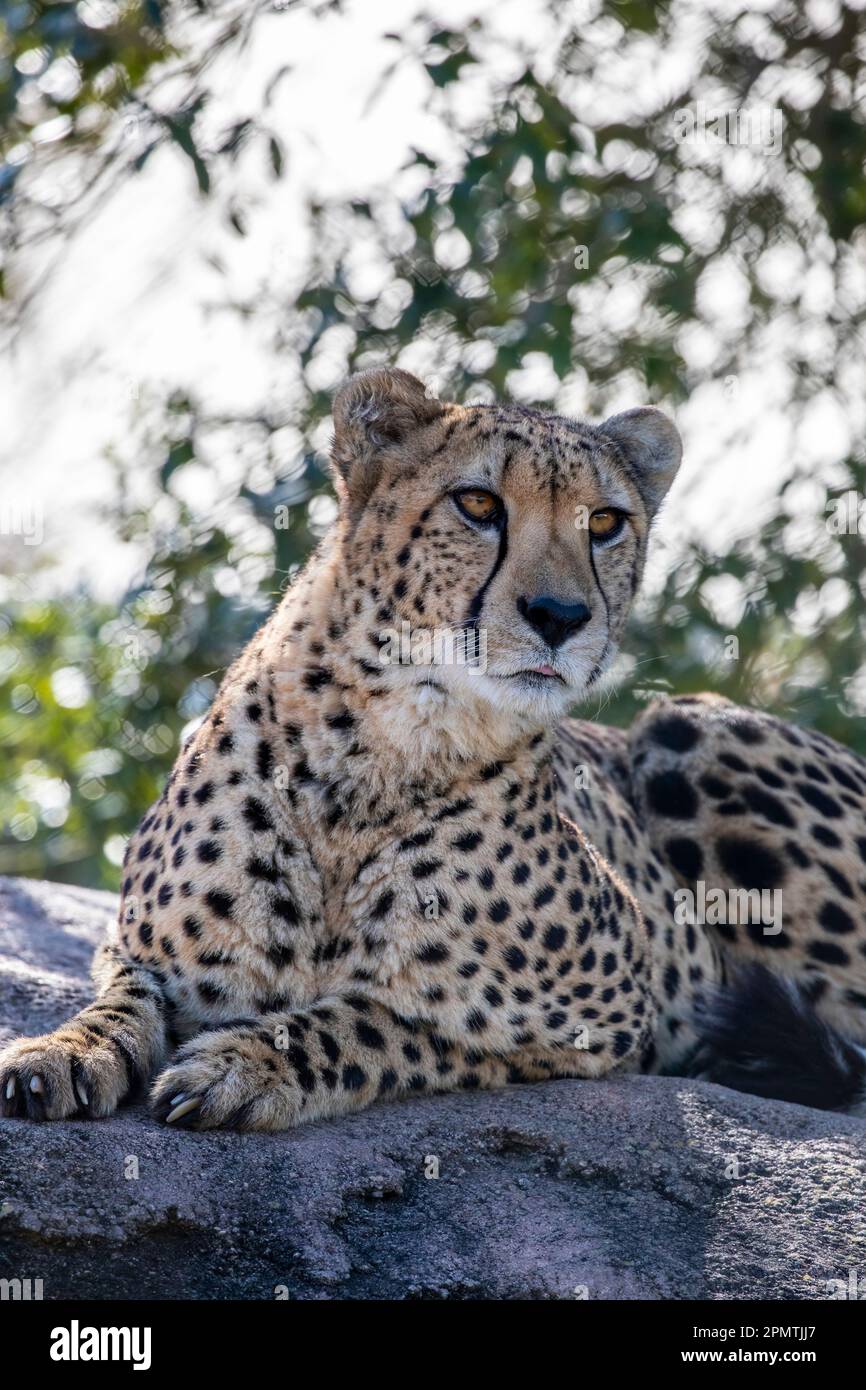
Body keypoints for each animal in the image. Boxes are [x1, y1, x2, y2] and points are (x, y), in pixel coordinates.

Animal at [3, 366, 866, 1131]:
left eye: (605, 523)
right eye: (478, 504)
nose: (560, 616)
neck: (378, 743)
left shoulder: (614, 1009)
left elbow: (383, 1019)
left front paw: (246, 1062)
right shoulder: (139, 948)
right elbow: (122, 996)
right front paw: (61, 1052)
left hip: (688, 725)